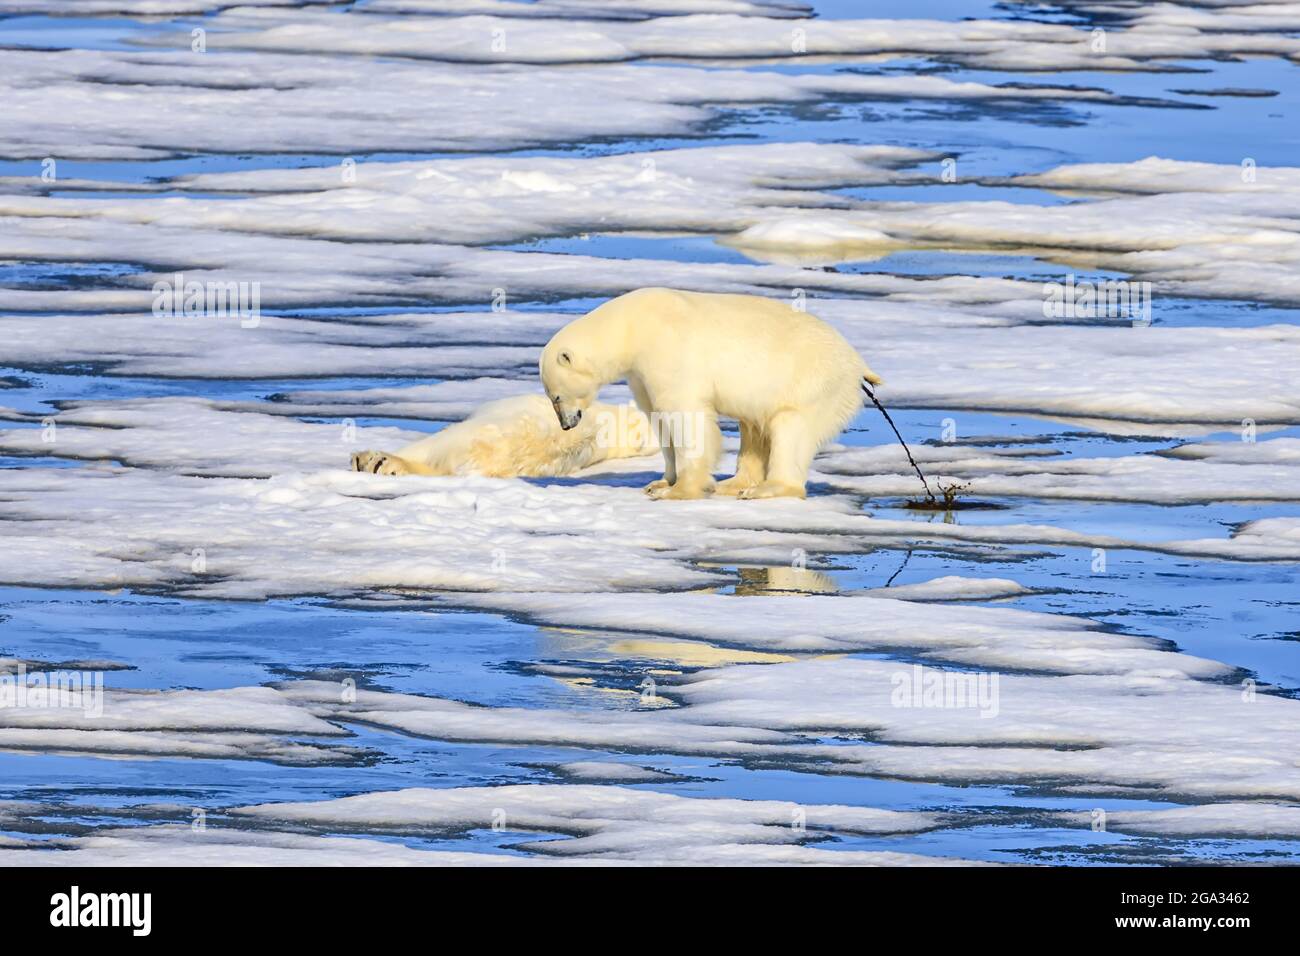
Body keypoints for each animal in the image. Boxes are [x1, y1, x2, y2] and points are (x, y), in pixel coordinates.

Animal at [539, 287, 883, 500]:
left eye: (555, 396)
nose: (566, 424)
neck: (632, 327)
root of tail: (858, 365)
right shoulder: (640, 373)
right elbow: (657, 415)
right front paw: (660, 482)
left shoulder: (668, 349)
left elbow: (685, 414)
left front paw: (679, 490)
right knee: (754, 428)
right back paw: (735, 484)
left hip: (811, 384)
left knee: (790, 429)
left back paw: (765, 488)